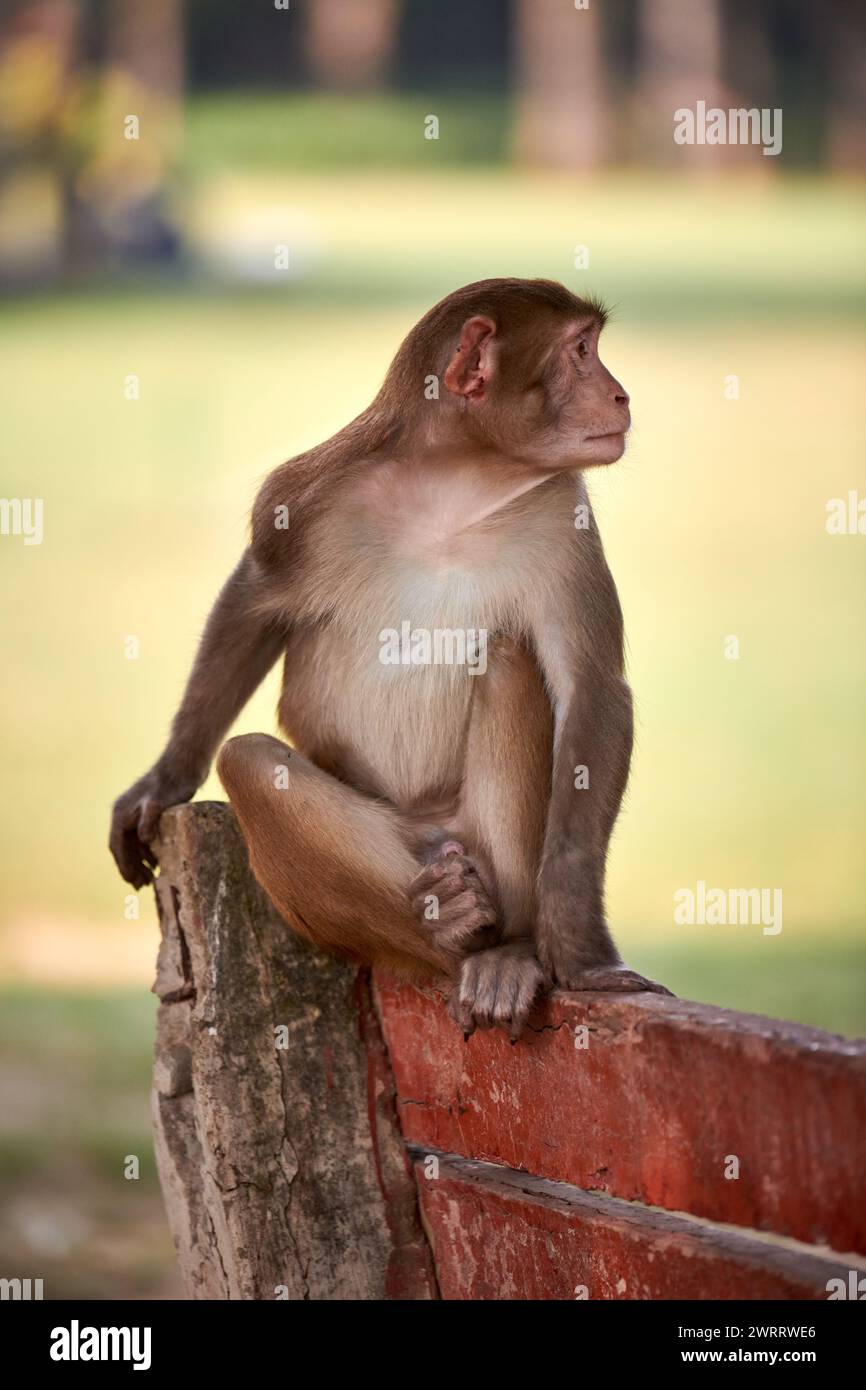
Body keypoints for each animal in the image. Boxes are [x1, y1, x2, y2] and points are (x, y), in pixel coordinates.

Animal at [110, 277, 672, 1039]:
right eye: (581, 351)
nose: (619, 396)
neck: (458, 486)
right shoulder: (304, 495)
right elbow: (254, 599)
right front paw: (163, 781)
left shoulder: (565, 519)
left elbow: (592, 691)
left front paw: (581, 952)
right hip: (391, 855)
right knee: (252, 764)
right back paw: (446, 924)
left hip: (477, 840)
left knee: (508, 660)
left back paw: (507, 948)